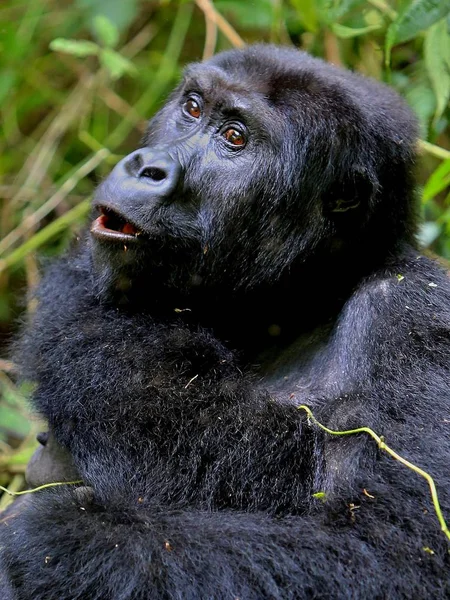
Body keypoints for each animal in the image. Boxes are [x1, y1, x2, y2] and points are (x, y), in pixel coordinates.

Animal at [0, 45, 450, 600]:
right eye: (192, 108)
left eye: (235, 138)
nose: (147, 166)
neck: (302, 305)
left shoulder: (408, 312)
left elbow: (395, 550)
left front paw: (55, 539)